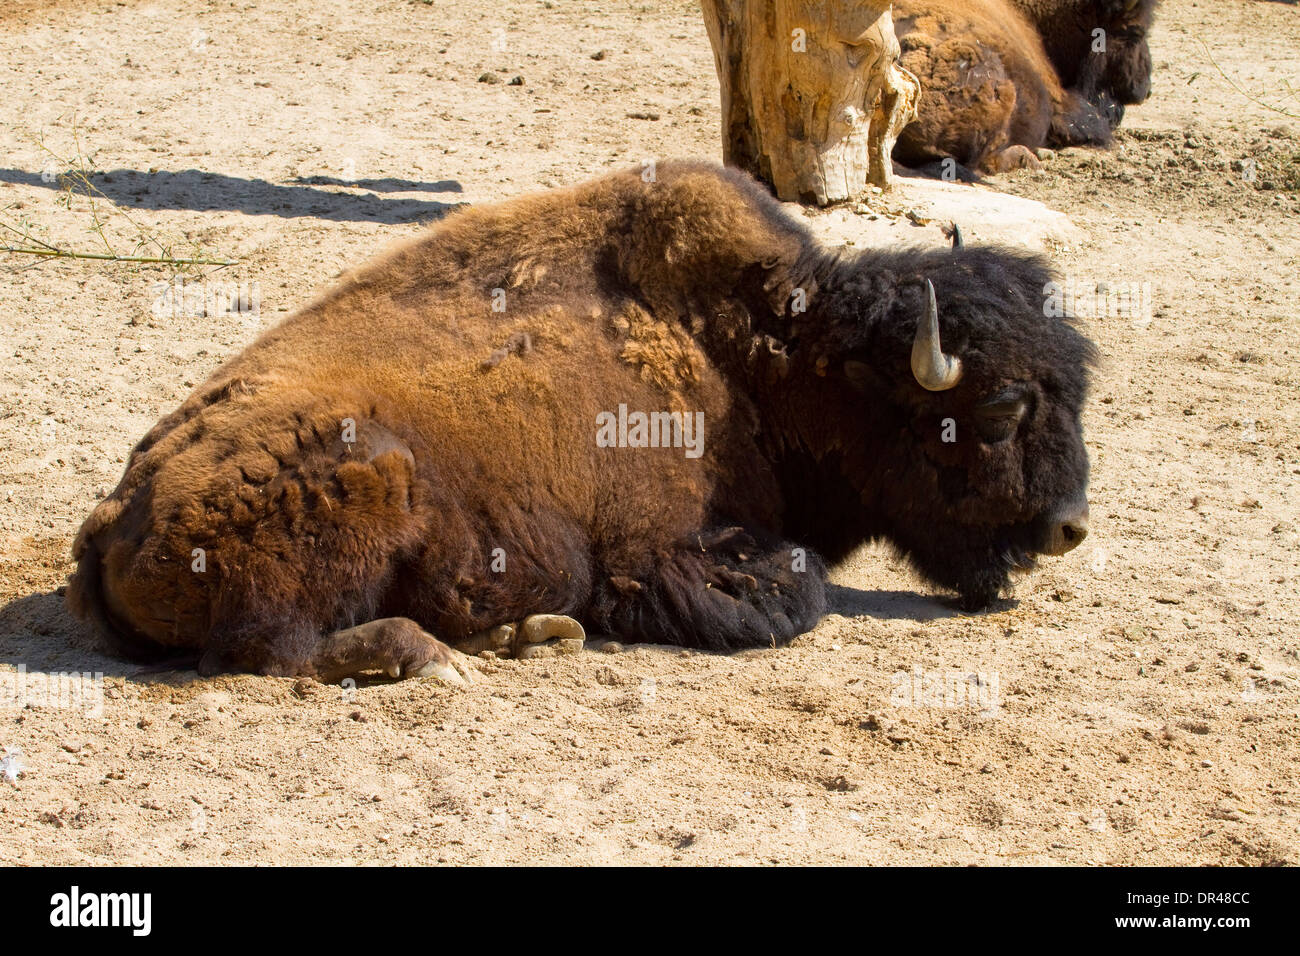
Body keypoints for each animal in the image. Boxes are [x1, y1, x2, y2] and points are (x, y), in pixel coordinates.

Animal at [69, 162, 1094, 682]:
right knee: (277, 651)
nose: (1069, 528)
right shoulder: (661, 550)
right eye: (997, 411)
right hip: (370, 478)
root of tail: (109, 525)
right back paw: (442, 655)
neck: (760, 356)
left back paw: (519, 634)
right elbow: (794, 592)